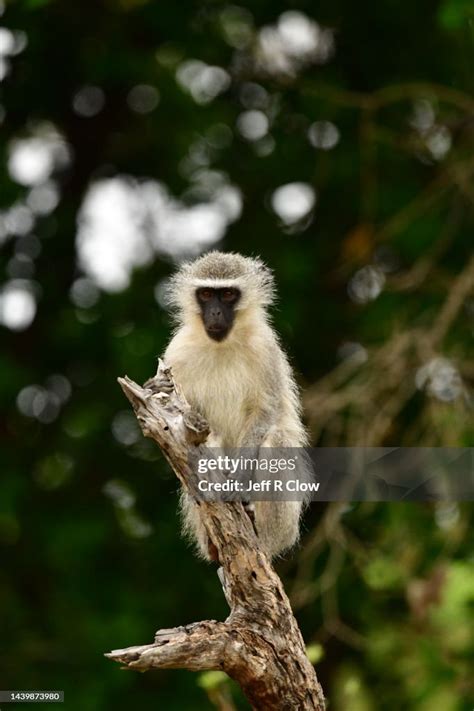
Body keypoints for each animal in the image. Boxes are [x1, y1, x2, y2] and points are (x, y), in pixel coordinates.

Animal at [161, 251, 309, 561]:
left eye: (228, 294)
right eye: (206, 294)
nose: (216, 313)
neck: (221, 345)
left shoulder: (265, 348)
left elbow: (266, 411)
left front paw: (238, 480)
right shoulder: (175, 355)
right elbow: (188, 429)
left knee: (276, 440)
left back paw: (260, 532)